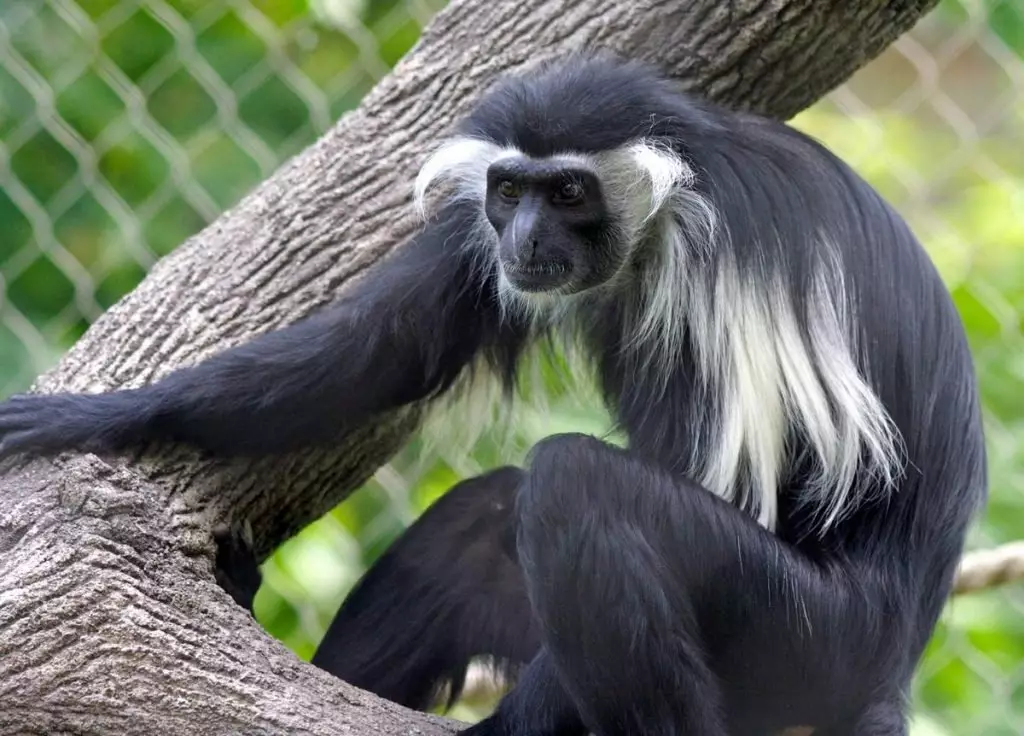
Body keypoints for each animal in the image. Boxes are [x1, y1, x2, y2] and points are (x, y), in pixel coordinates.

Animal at [0, 54, 991, 732]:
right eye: (512, 190)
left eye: (570, 192)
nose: (522, 237)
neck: (668, 210)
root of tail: (893, 659)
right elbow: (381, 349)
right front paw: (93, 416)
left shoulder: (728, 262)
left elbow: (729, 480)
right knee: (479, 524)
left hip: (809, 635)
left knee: (574, 487)